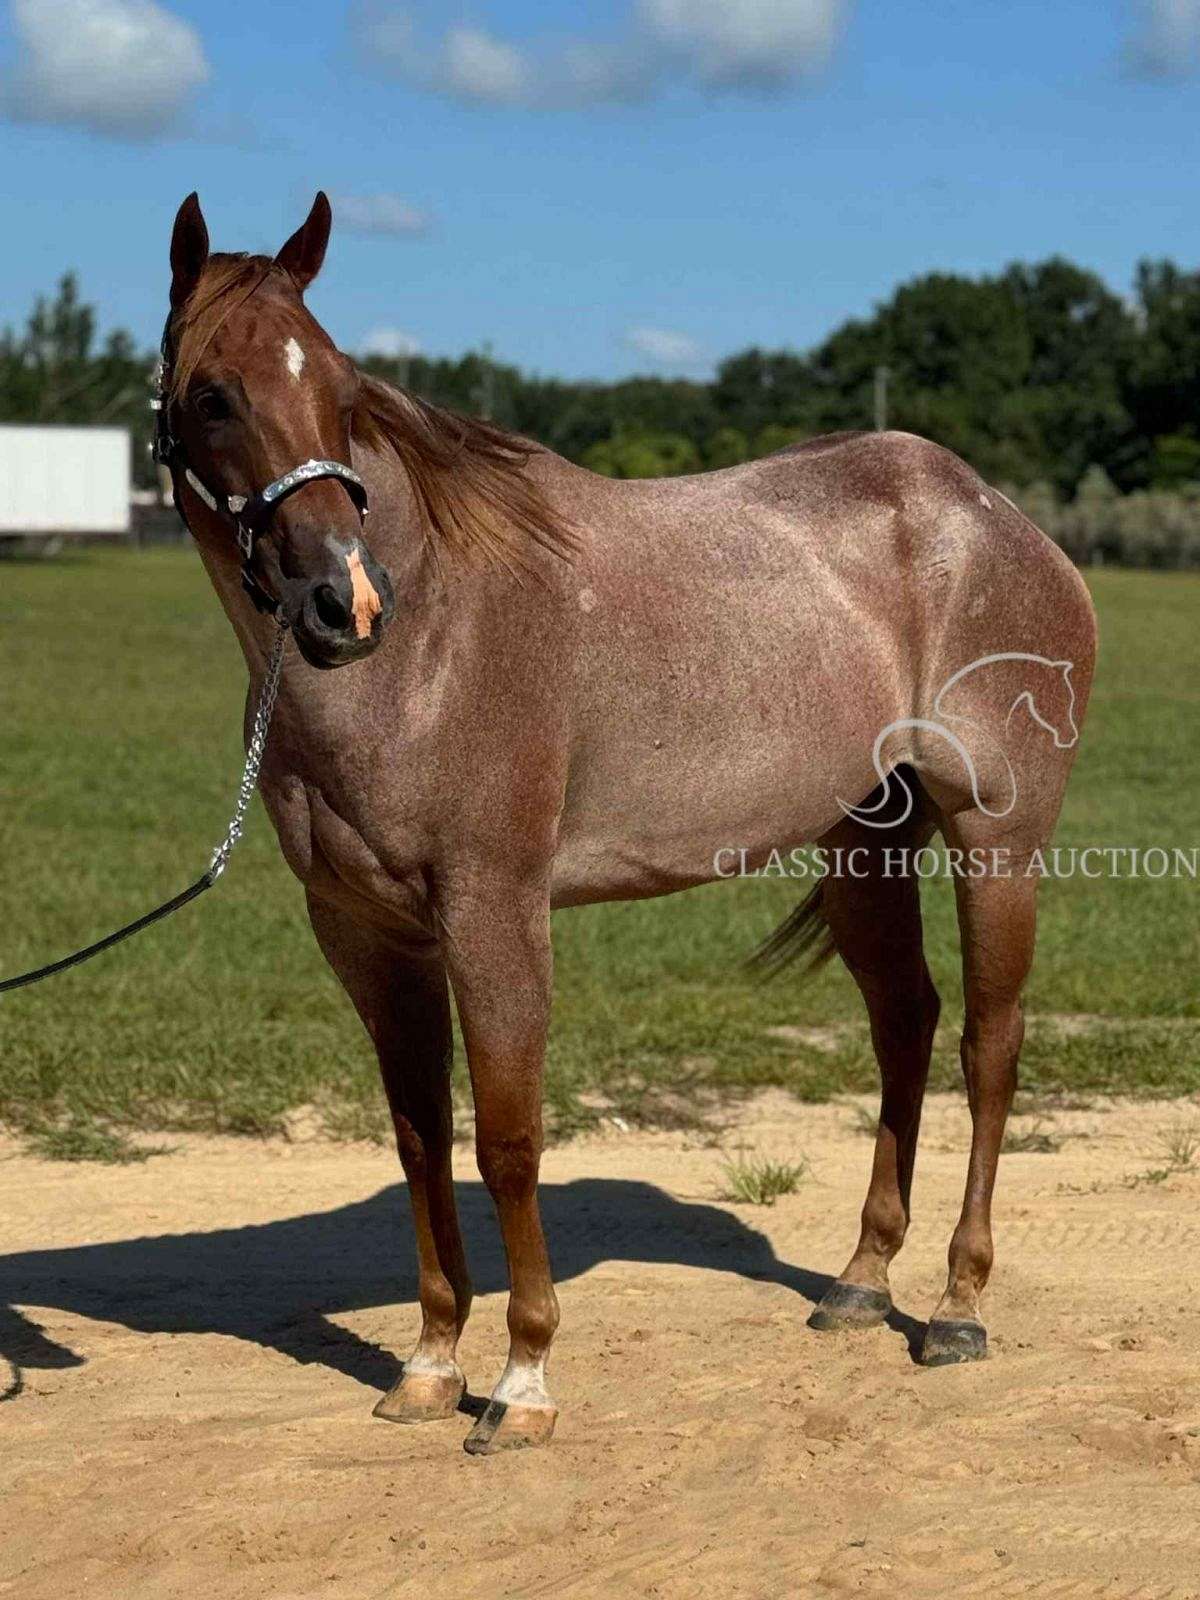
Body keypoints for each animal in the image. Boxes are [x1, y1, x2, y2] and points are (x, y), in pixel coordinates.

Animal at [157, 191, 1096, 1454]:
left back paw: (956, 1305)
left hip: (997, 841)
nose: (342, 602)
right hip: (864, 842)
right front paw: (429, 1362)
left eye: (344, 390)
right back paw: (860, 1281)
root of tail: (996, 518)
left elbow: (508, 1139)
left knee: (988, 1047)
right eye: (214, 395)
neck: (431, 642)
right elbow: (419, 1135)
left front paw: (523, 1381)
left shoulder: (495, 913)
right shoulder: (366, 934)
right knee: (907, 1024)